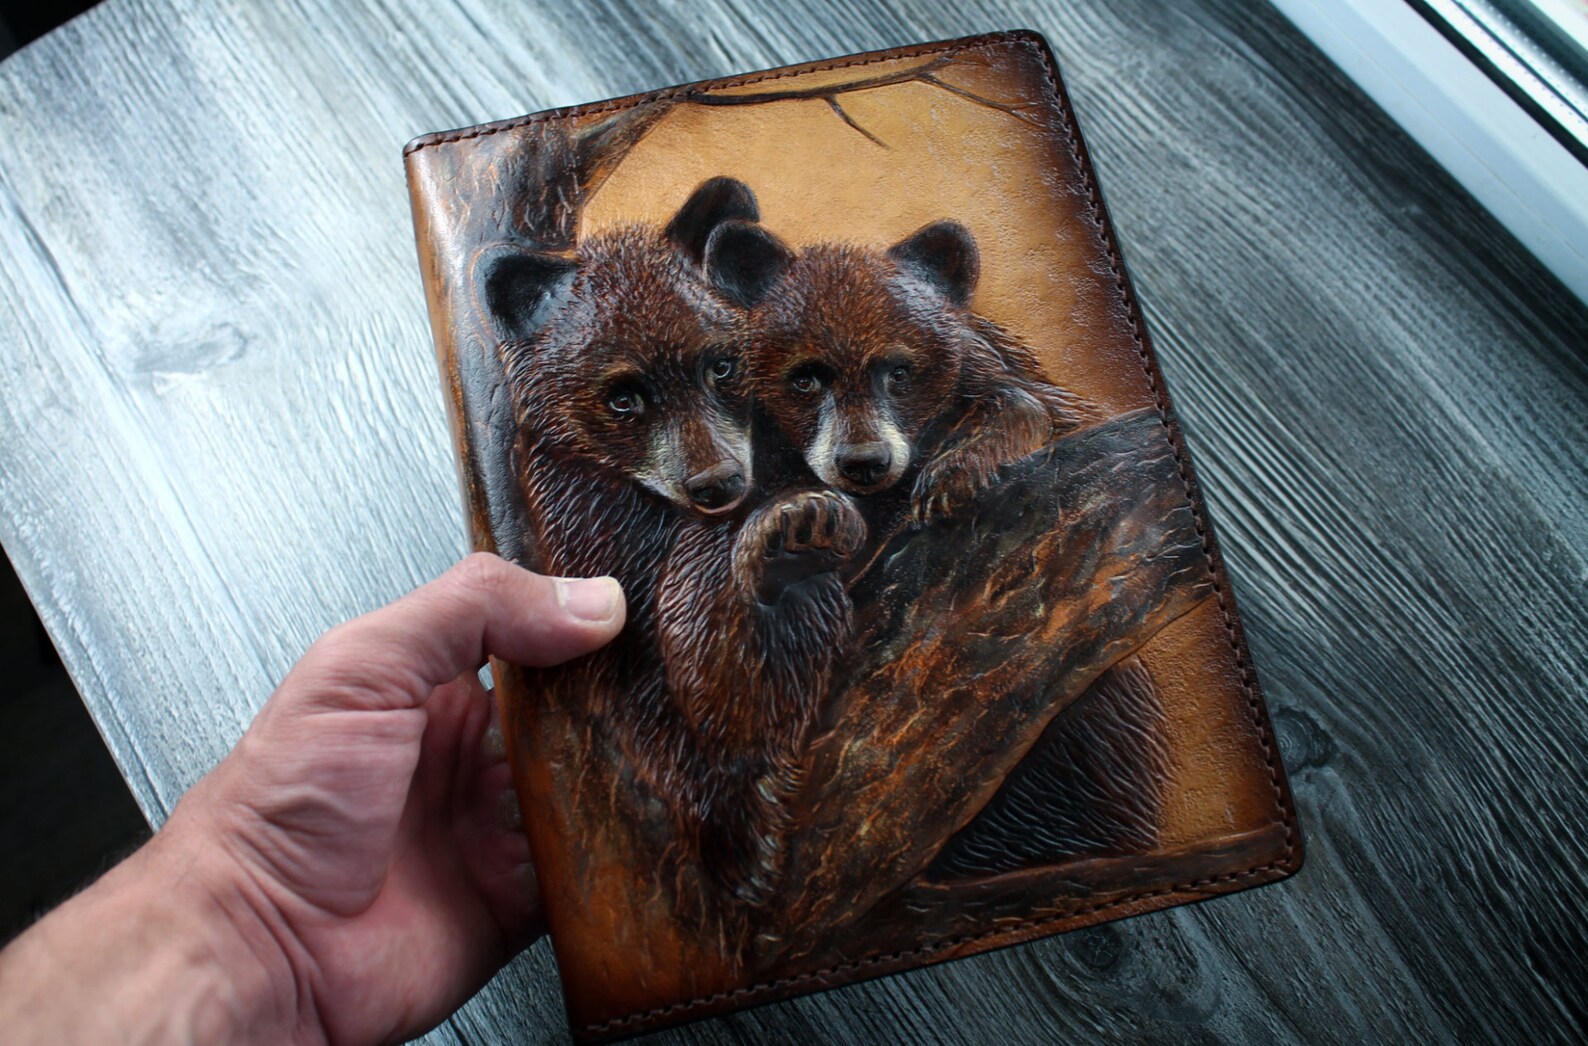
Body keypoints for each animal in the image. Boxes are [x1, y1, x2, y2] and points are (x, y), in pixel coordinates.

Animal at [476, 177, 863, 929]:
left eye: (721, 364)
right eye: (624, 395)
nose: (717, 483)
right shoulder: (587, 529)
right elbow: (655, 698)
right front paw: (729, 832)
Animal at [700, 215, 1171, 872]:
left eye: (898, 371)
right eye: (806, 377)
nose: (864, 461)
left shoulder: (1001, 380)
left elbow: (1021, 409)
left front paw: (956, 471)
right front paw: (795, 531)